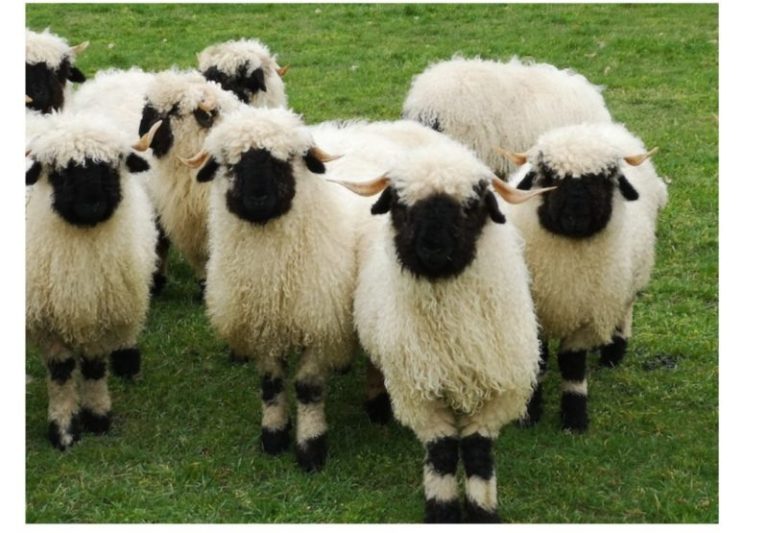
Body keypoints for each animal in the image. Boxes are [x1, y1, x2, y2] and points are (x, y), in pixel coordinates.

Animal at [25, 112, 160, 450]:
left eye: (112, 166)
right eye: (59, 172)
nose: (91, 205)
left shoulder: (101, 313)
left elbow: (94, 367)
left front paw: (98, 417)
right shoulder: (49, 323)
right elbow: (61, 375)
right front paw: (64, 429)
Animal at [181, 106, 362, 472]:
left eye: (287, 159)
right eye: (229, 163)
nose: (258, 197)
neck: (271, 276)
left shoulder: (316, 324)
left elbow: (307, 388)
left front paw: (310, 447)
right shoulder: (260, 327)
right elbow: (270, 384)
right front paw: (274, 434)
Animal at [331, 135, 551, 522]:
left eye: (471, 206)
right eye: (401, 205)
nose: (433, 249)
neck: (451, 330)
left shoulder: (497, 392)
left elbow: (478, 455)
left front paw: (483, 513)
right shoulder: (421, 394)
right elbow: (442, 454)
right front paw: (443, 512)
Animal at [501, 122, 668, 432]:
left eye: (602, 179)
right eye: (551, 178)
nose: (576, 217)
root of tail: (602, 126)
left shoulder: (585, 316)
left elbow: (573, 366)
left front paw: (574, 418)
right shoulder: (535, 312)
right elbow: (538, 361)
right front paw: (529, 414)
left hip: (628, 279)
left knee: (625, 310)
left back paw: (614, 351)